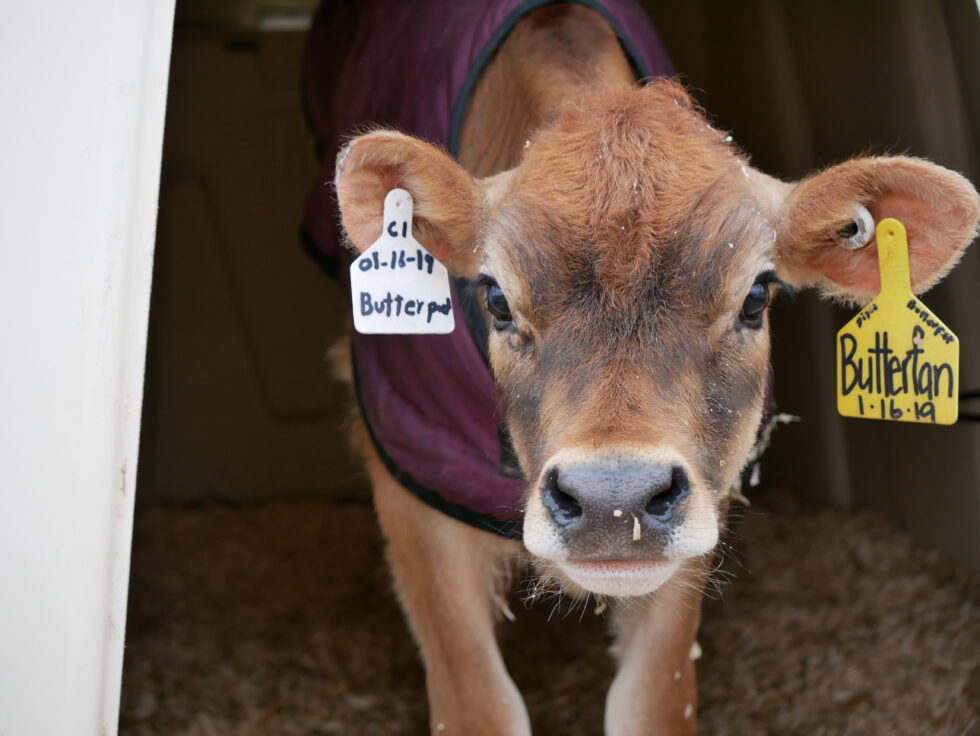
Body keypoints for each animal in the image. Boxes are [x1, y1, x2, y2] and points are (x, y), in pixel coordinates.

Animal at [302, 2, 980, 734]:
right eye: (496, 300)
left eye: (756, 296)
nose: (614, 501)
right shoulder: (418, 505)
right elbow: (480, 704)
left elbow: (651, 701)